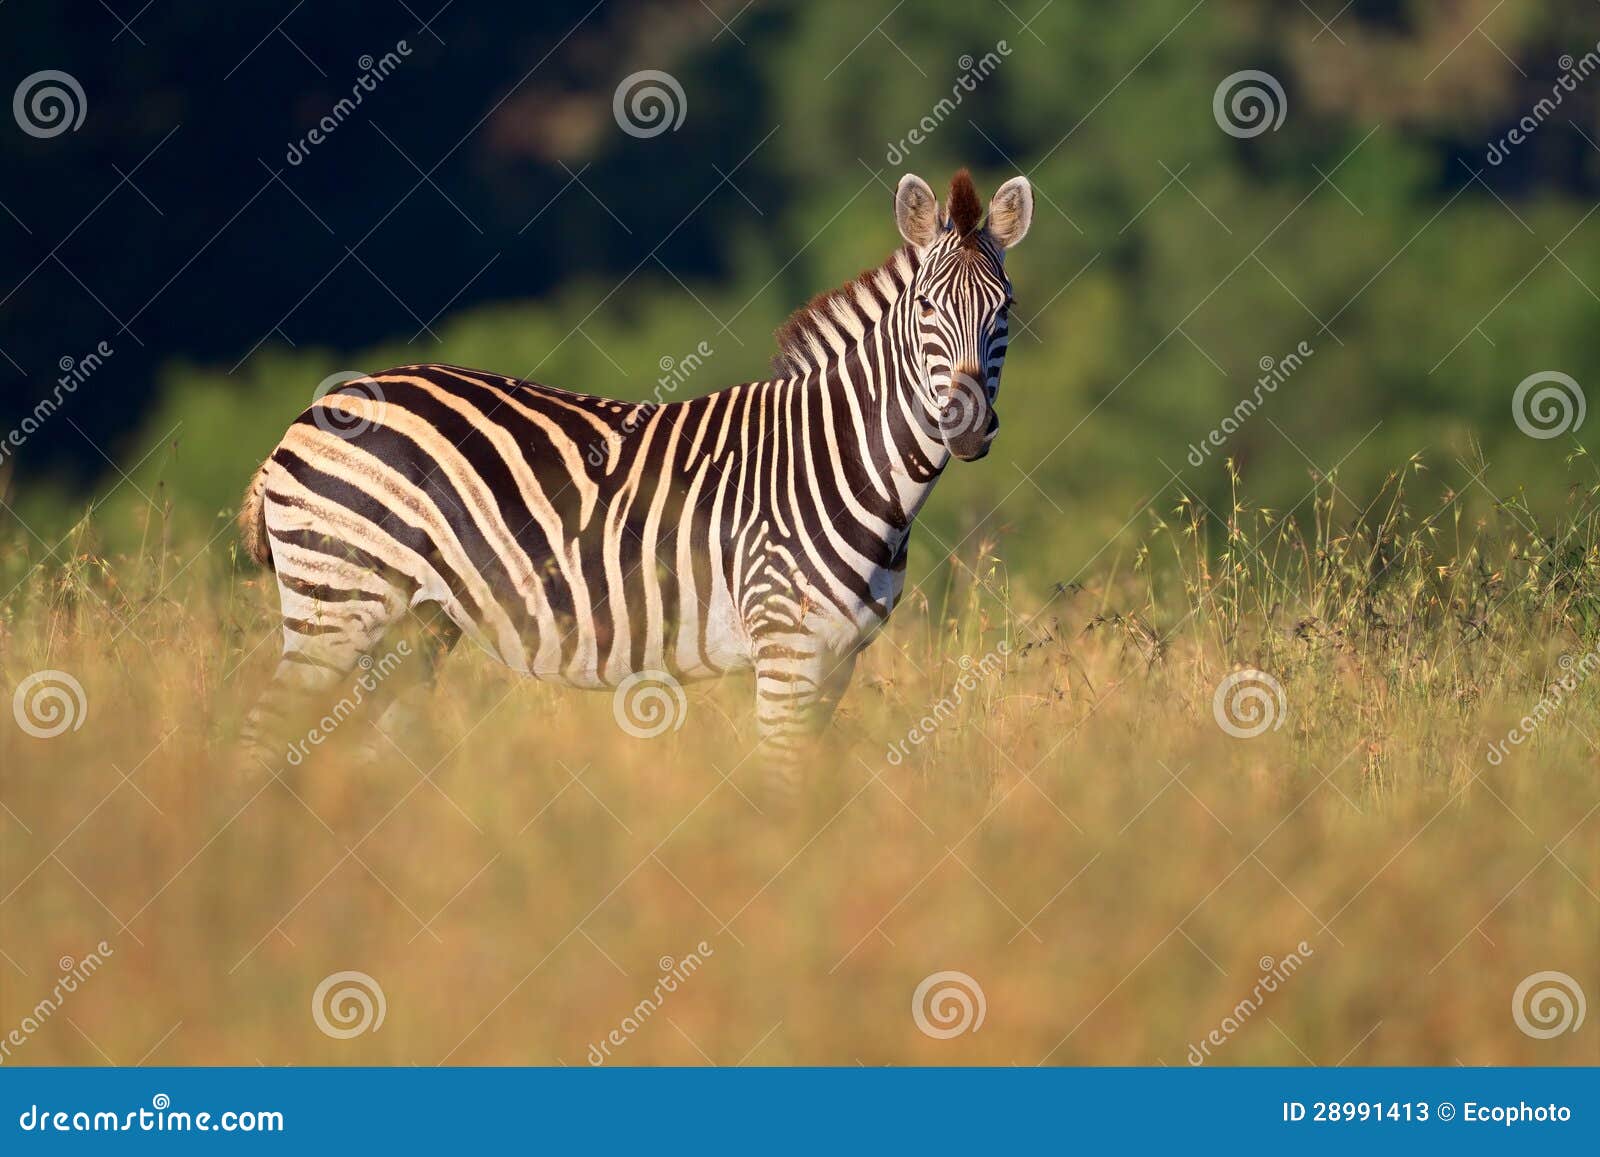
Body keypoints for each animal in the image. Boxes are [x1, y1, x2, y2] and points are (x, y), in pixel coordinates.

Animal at [237, 169, 1033, 777]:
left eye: (1007, 310)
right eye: (924, 306)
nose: (965, 426)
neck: (840, 462)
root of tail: (315, 411)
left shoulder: (838, 659)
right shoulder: (787, 648)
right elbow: (783, 785)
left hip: (411, 629)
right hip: (338, 602)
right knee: (261, 735)